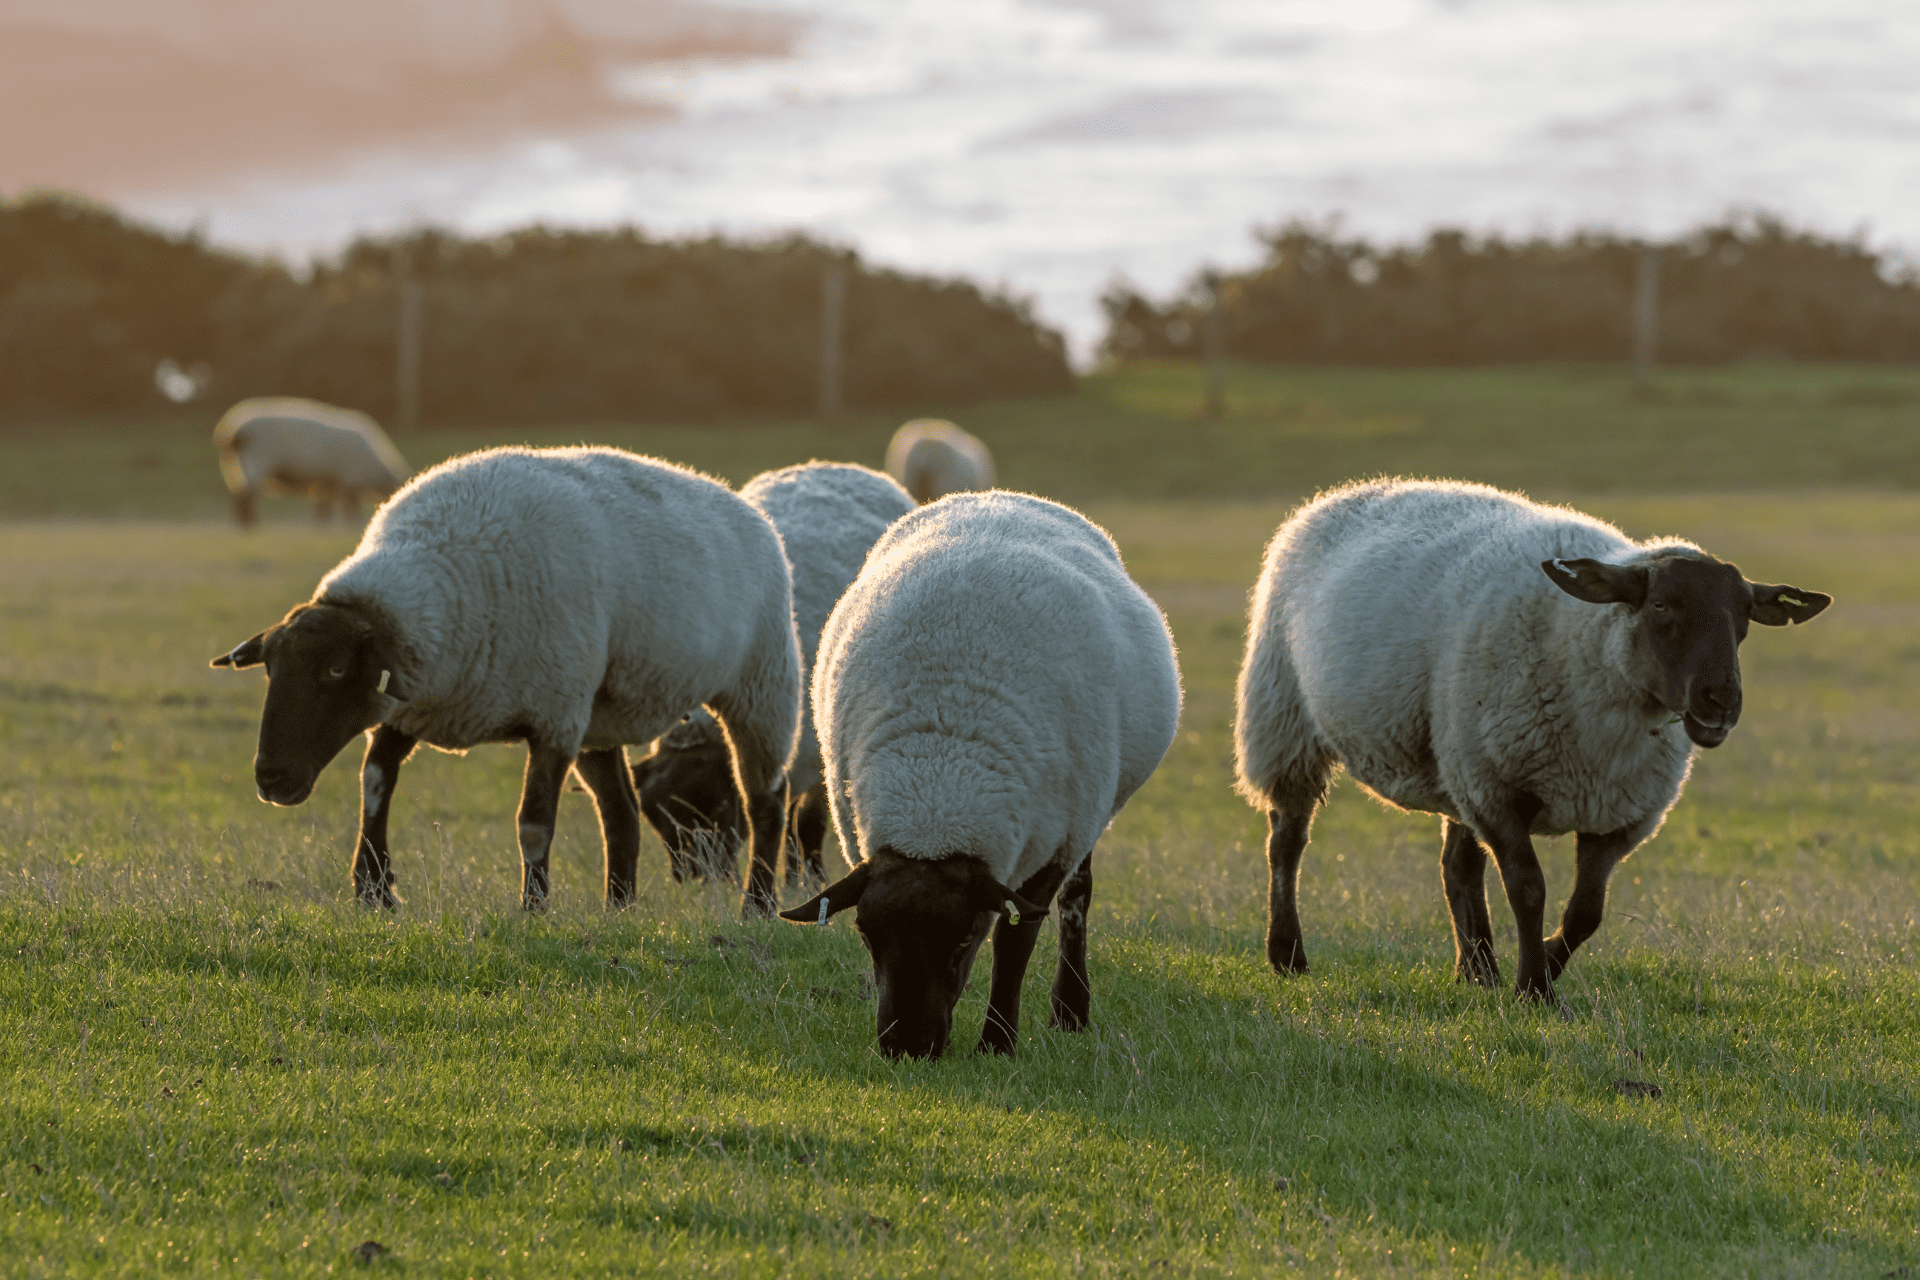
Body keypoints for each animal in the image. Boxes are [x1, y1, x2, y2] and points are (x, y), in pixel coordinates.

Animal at [209, 445, 802, 917]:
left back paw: (758, 905)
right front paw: (373, 892)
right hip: (600, 715)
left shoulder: (554, 718)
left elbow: (533, 822)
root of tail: (738, 502)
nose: (272, 780)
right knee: (621, 812)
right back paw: (618, 908)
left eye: (334, 668)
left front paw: (533, 908)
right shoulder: (411, 707)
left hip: (762, 685)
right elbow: (374, 786)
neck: (444, 576)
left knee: (766, 800)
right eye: (270, 668)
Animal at [212, 397, 411, 528]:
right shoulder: (349, 477)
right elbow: (348, 504)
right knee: (246, 492)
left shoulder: (330, 478)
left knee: (239, 491)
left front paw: (322, 521)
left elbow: (324, 500)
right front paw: (351, 522)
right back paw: (248, 523)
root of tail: (232, 431)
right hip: (258, 457)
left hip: (236, 463)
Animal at [629, 462, 916, 883]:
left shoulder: (819, 758)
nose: (696, 882)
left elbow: (809, 823)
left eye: (719, 806)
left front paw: (810, 878)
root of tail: (828, 464)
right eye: (654, 814)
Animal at [781, 491, 1182, 1059]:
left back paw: (1070, 1012)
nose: (908, 1047)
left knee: (1076, 902)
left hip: (1090, 807)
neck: (938, 781)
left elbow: (1016, 938)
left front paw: (997, 1043)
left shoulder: (1054, 838)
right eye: (865, 935)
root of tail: (1003, 496)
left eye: (964, 940)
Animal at [1233, 478, 1831, 1001]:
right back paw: (1287, 956)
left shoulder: (1618, 814)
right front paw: (1535, 991)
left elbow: (1585, 912)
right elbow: (1528, 891)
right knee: (1286, 842)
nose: (1721, 702)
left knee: (1457, 868)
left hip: (1454, 754)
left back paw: (1477, 972)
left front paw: (1540, 961)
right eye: (1661, 605)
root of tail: (1345, 492)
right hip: (1285, 719)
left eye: (1744, 616)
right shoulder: (1499, 791)